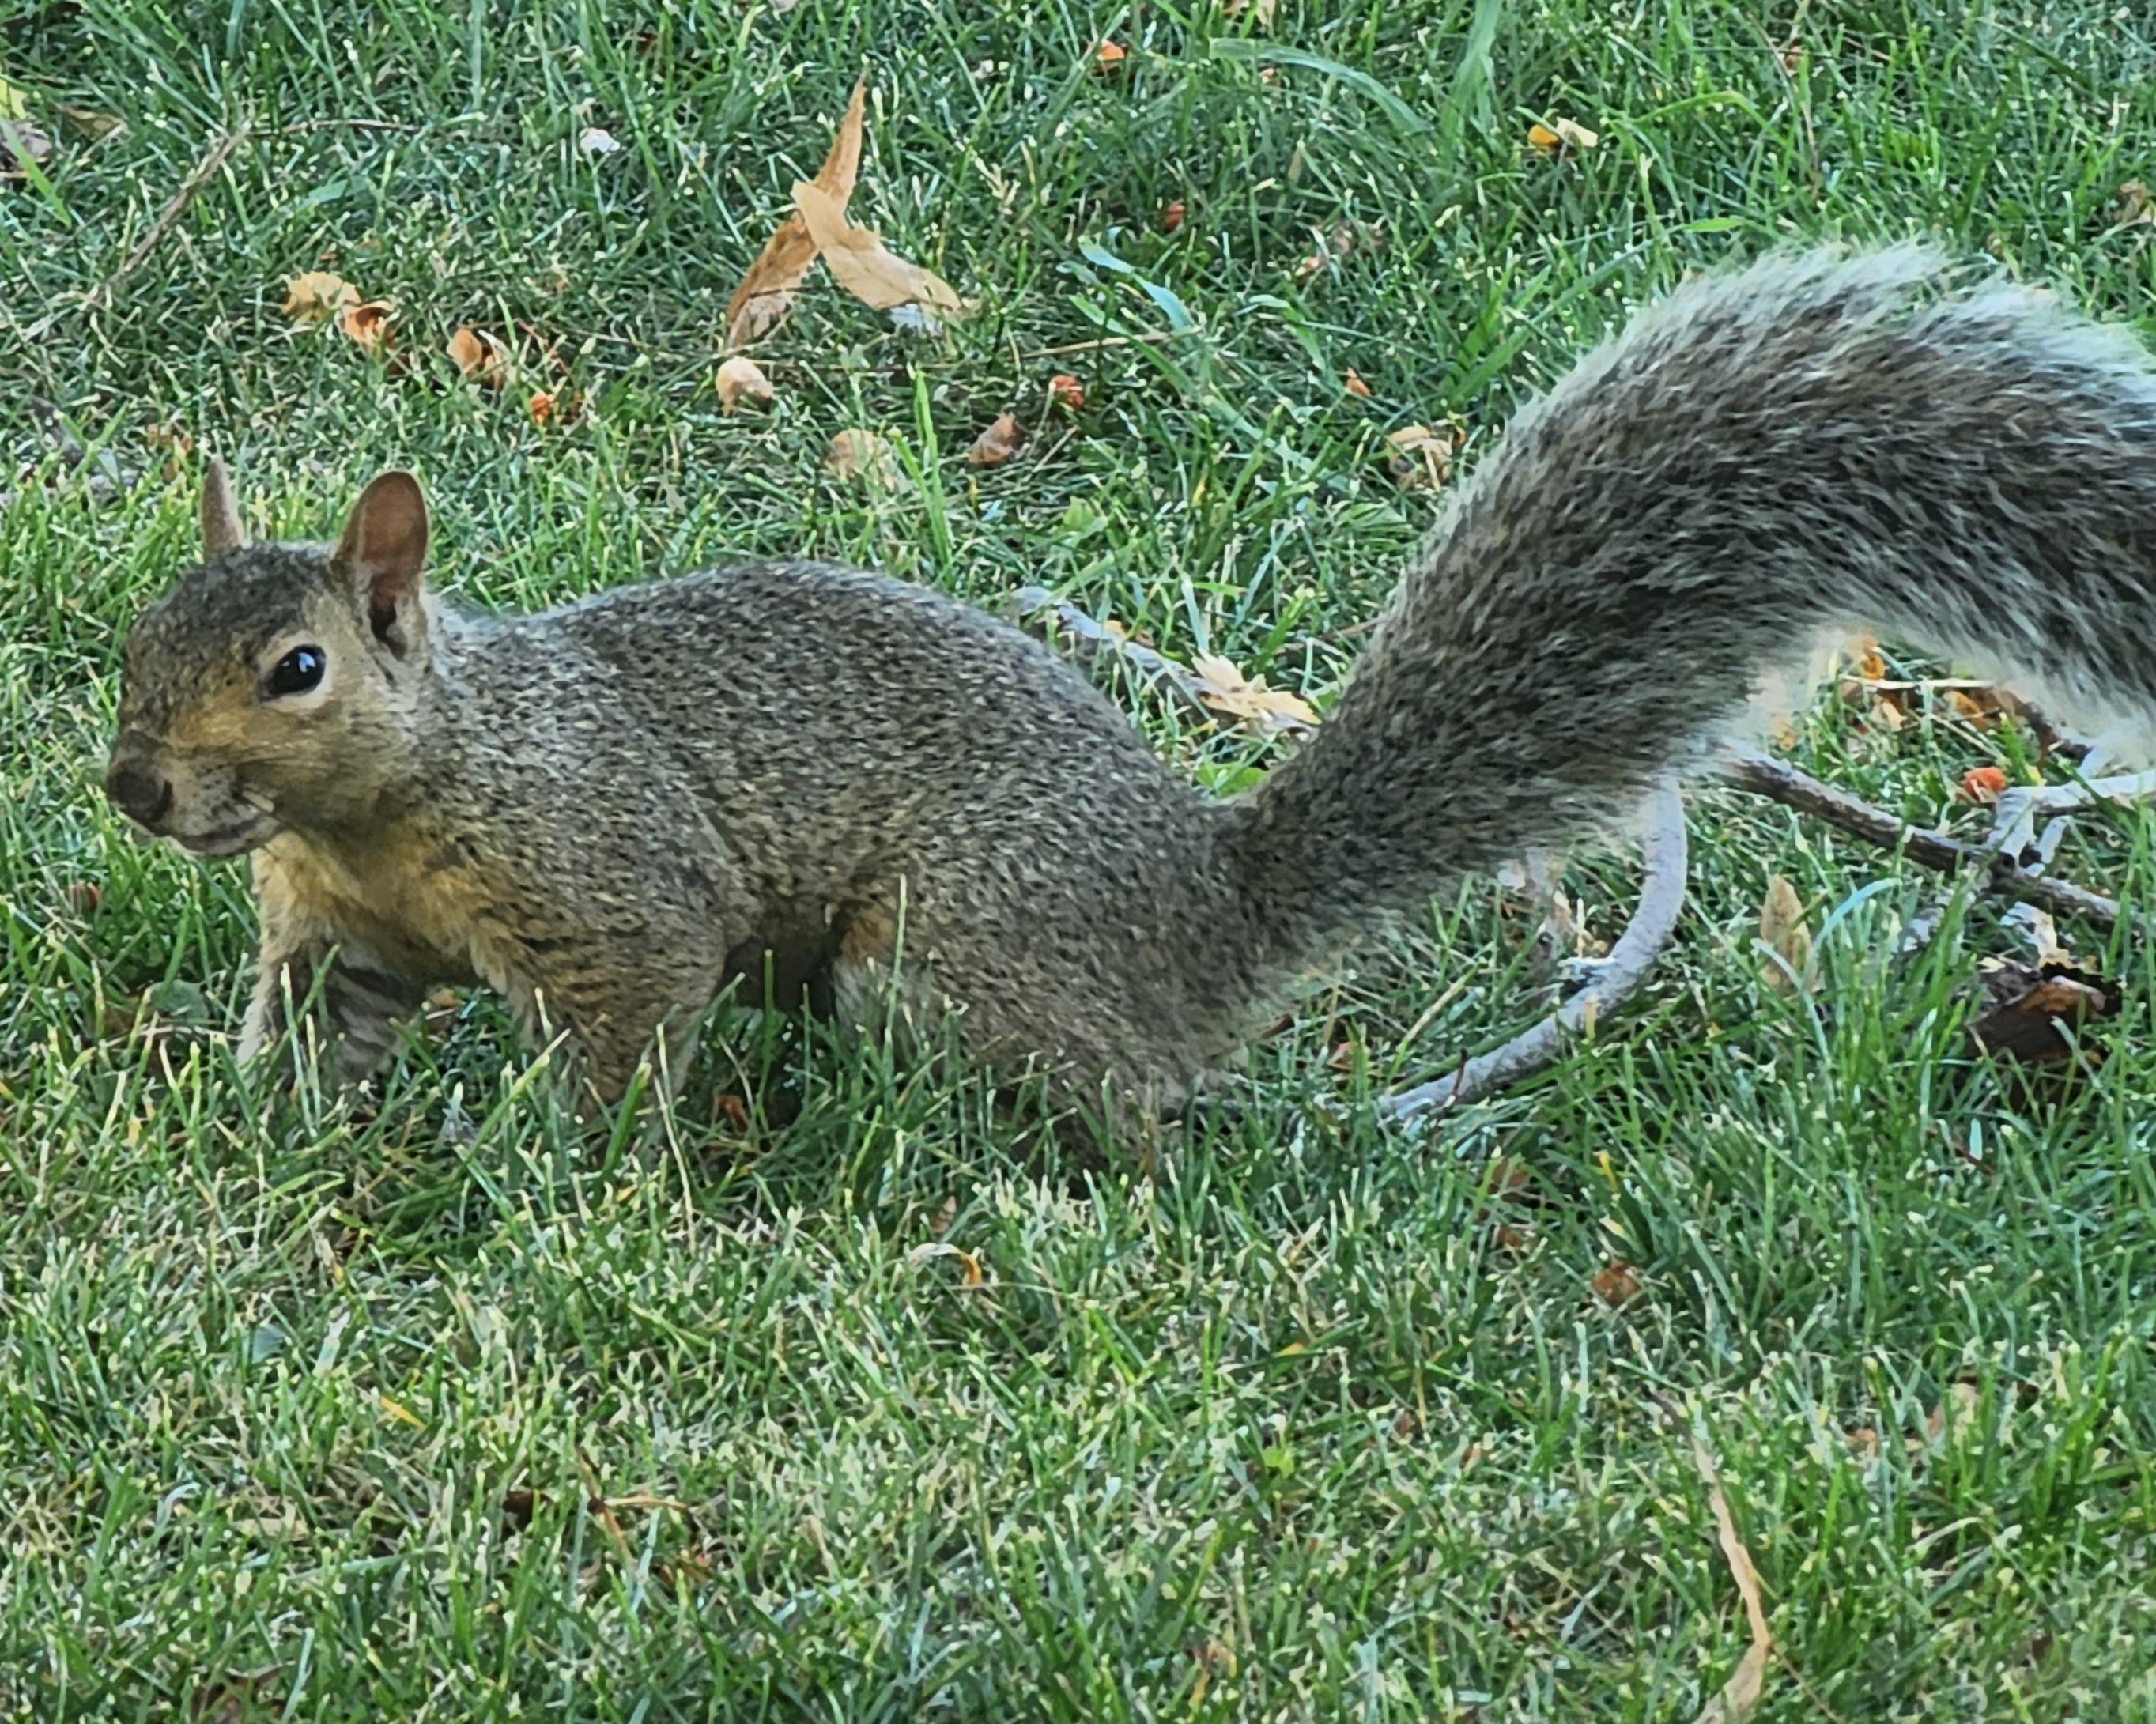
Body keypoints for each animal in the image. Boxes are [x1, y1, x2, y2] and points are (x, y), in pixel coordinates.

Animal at [104, 245, 2156, 1125]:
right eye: (133, 635)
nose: (134, 787)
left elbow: (623, 1038)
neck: (399, 794)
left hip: (949, 953)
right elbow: (318, 1028)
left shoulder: (612, 885)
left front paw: (558, 1171)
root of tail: (1206, 904)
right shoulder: (342, 928)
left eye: (296, 667)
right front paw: (271, 1125)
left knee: (1118, 1115)